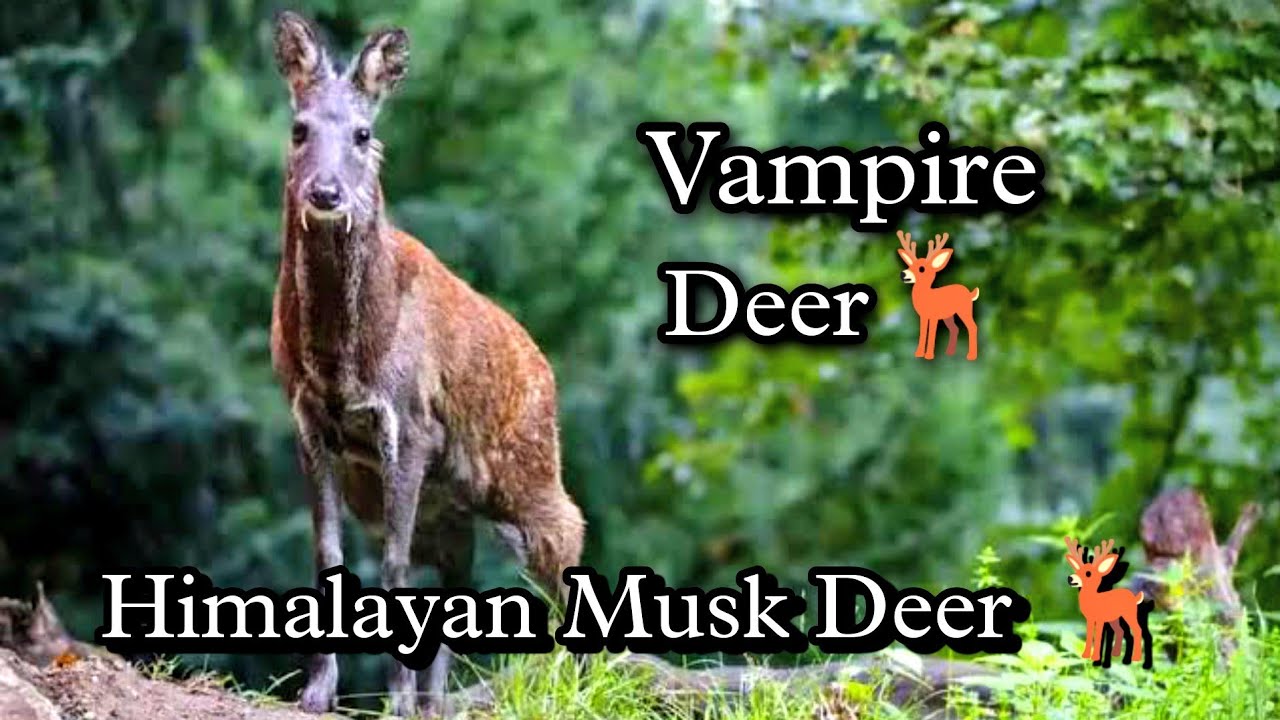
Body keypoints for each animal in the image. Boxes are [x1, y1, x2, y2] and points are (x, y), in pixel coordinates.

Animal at [270, 12, 585, 717]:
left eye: (363, 133)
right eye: (300, 129)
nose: (326, 192)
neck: (344, 359)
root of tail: (544, 366)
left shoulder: (410, 424)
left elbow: (390, 568)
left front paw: (390, 699)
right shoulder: (308, 421)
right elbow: (327, 557)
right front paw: (317, 692)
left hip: (527, 470)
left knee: (568, 545)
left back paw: (575, 686)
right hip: (445, 502)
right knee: (455, 579)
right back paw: (435, 700)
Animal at [895, 230, 979, 360]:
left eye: (922, 269)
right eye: (910, 265)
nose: (903, 274)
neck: (927, 295)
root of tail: (970, 293)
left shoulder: (934, 316)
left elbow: (932, 333)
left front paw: (929, 355)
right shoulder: (923, 316)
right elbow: (923, 332)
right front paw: (919, 354)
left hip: (964, 309)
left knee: (972, 327)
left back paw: (971, 356)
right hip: (948, 316)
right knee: (955, 329)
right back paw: (949, 353)